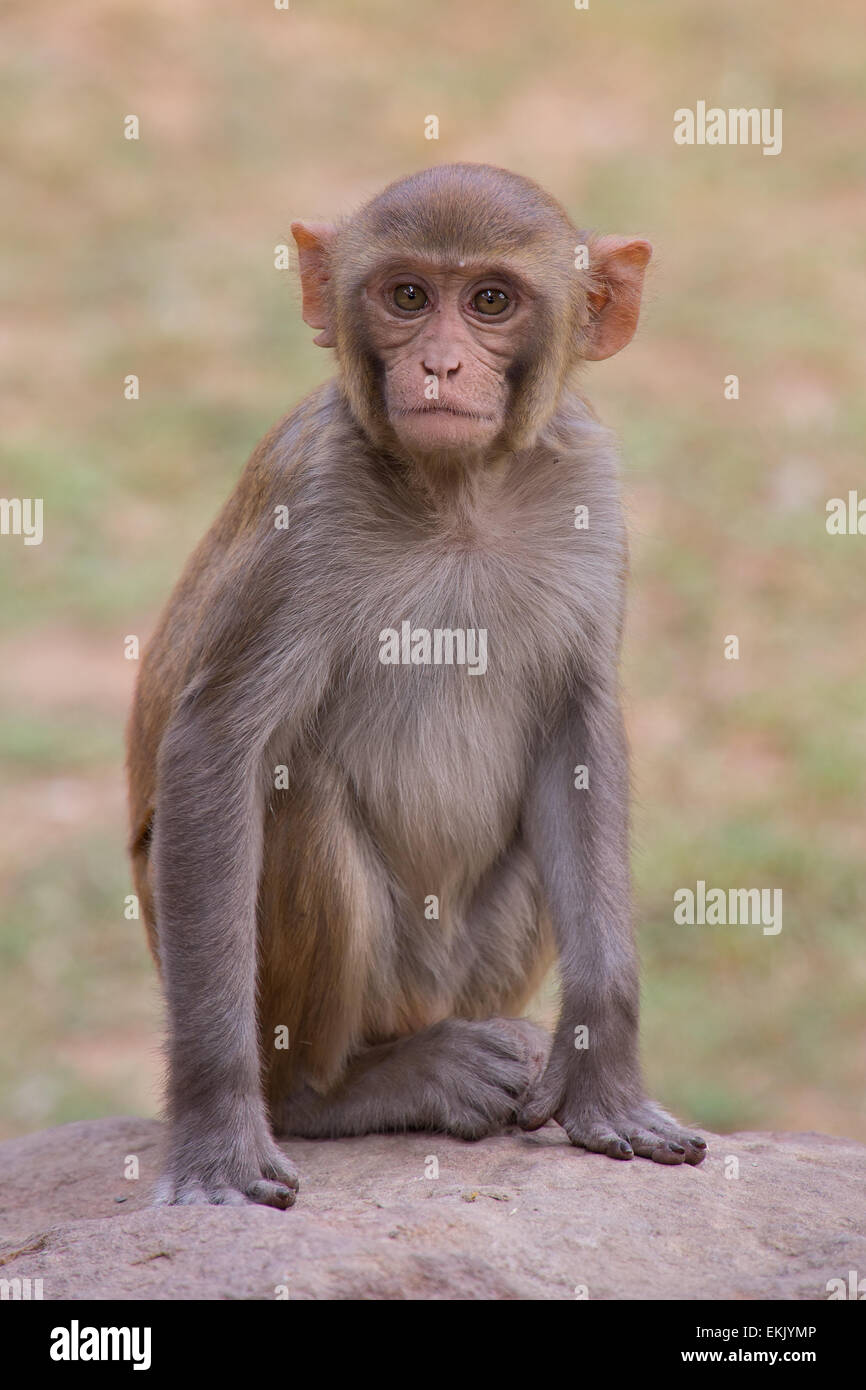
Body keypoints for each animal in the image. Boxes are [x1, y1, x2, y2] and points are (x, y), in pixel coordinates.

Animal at [126, 162, 707, 1209]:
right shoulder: (306, 502)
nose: (438, 366)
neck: (459, 493)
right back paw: (340, 1092)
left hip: (462, 975)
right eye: (405, 297)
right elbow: (214, 752)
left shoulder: (590, 485)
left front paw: (604, 1076)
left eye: (490, 302)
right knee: (297, 792)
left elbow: (579, 738)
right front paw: (218, 1133)